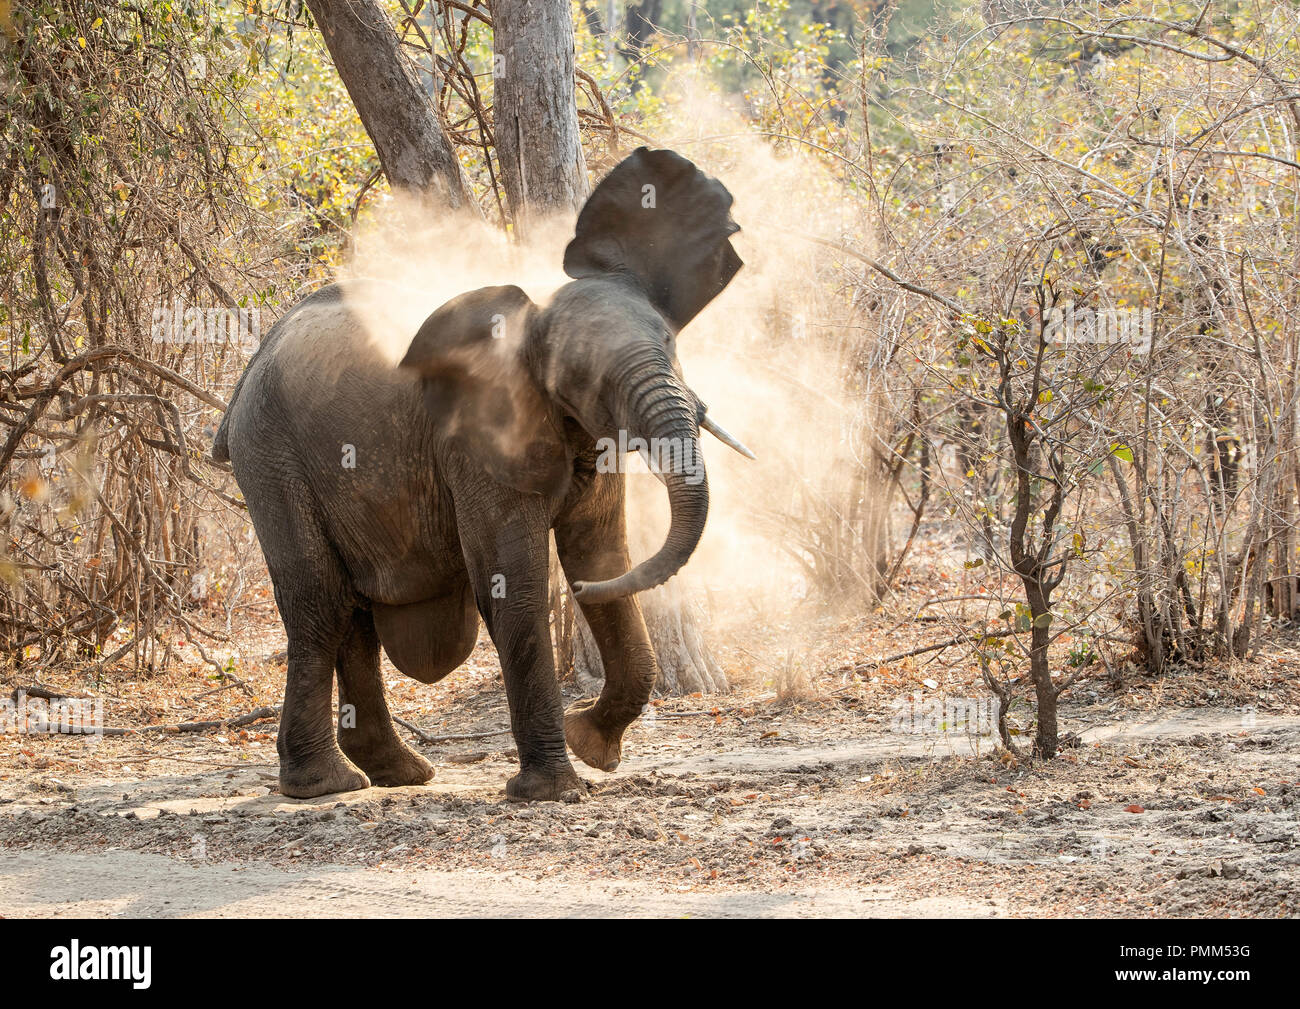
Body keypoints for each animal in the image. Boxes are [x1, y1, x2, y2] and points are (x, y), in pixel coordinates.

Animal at [211, 148, 752, 801]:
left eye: (672, 347)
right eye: (582, 375)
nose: (575, 592)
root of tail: (251, 366)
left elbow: (603, 554)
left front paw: (591, 747)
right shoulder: (473, 442)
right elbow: (513, 586)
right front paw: (556, 791)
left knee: (356, 612)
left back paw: (400, 774)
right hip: (270, 452)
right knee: (322, 604)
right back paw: (325, 785)